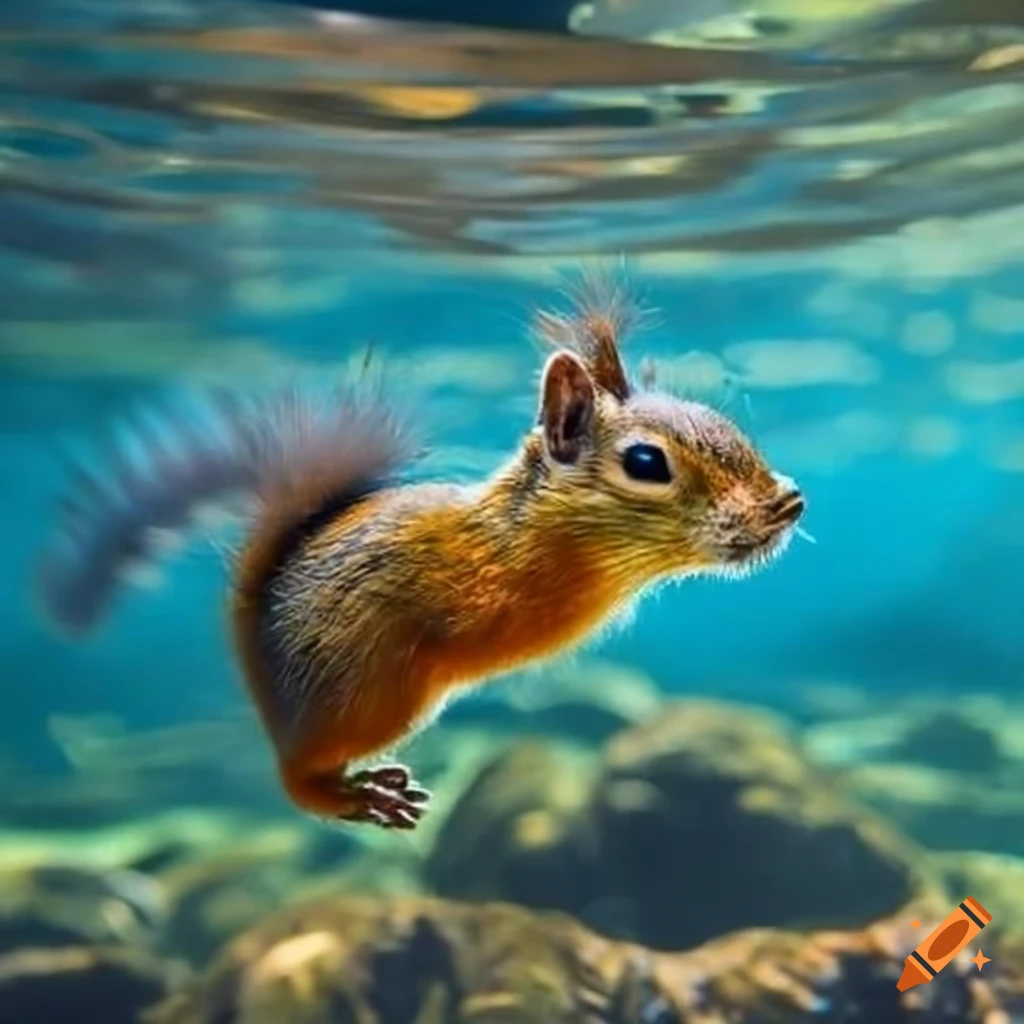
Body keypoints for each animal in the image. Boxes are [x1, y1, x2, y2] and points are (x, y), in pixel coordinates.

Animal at [37, 273, 805, 831]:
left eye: (722, 421)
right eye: (646, 462)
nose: (788, 503)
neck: (547, 532)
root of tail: (257, 647)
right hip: (369, 696)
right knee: (297, 779)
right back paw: (356, 797)